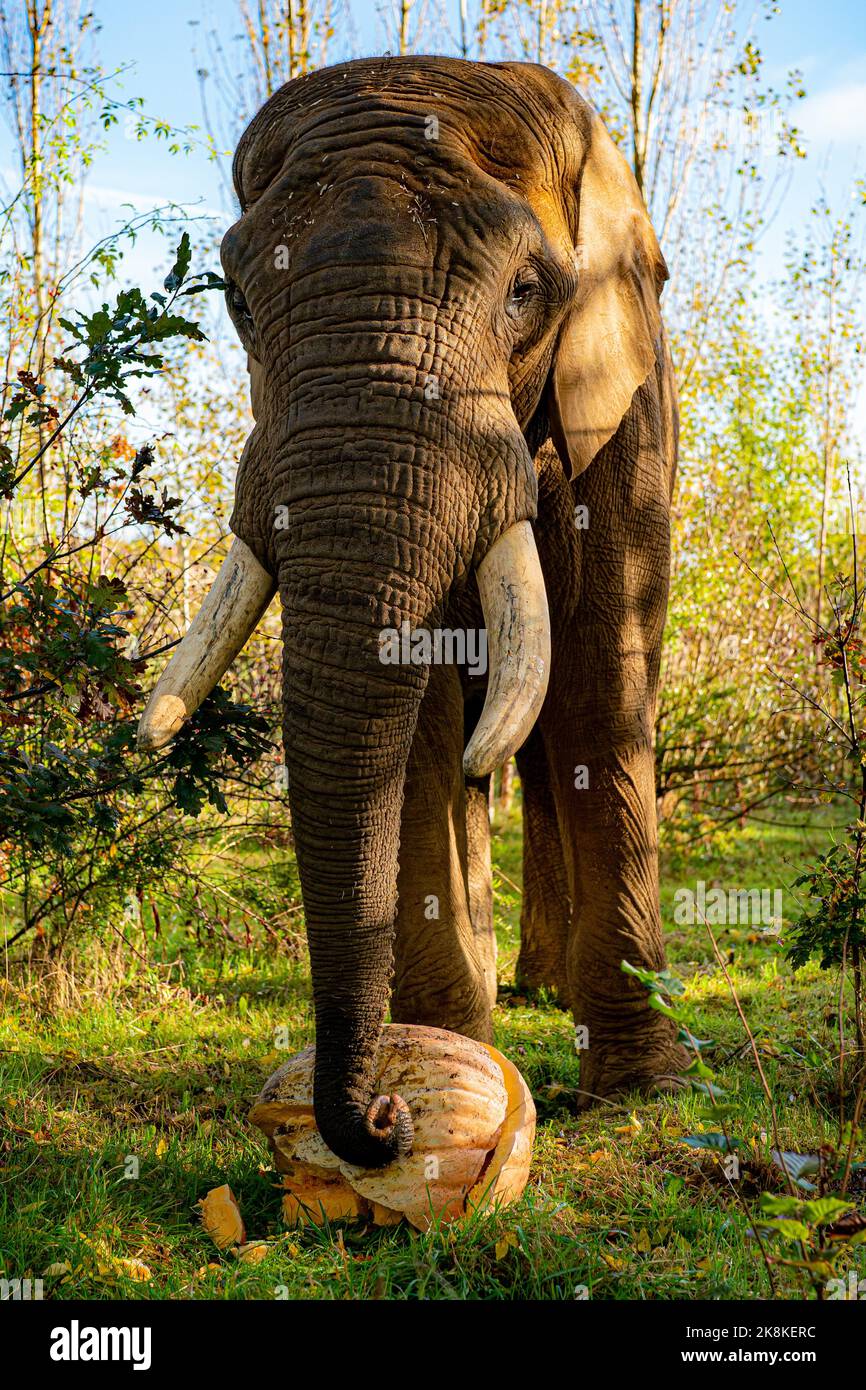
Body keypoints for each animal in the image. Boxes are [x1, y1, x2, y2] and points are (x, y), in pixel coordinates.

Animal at [138, 56, 686, 1169]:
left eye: (525, 292)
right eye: (239, 304)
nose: (383, 1119)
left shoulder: (624, 414)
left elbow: (602, 692)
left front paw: (640, 1094)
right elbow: (426, 730)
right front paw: (450, 1056)